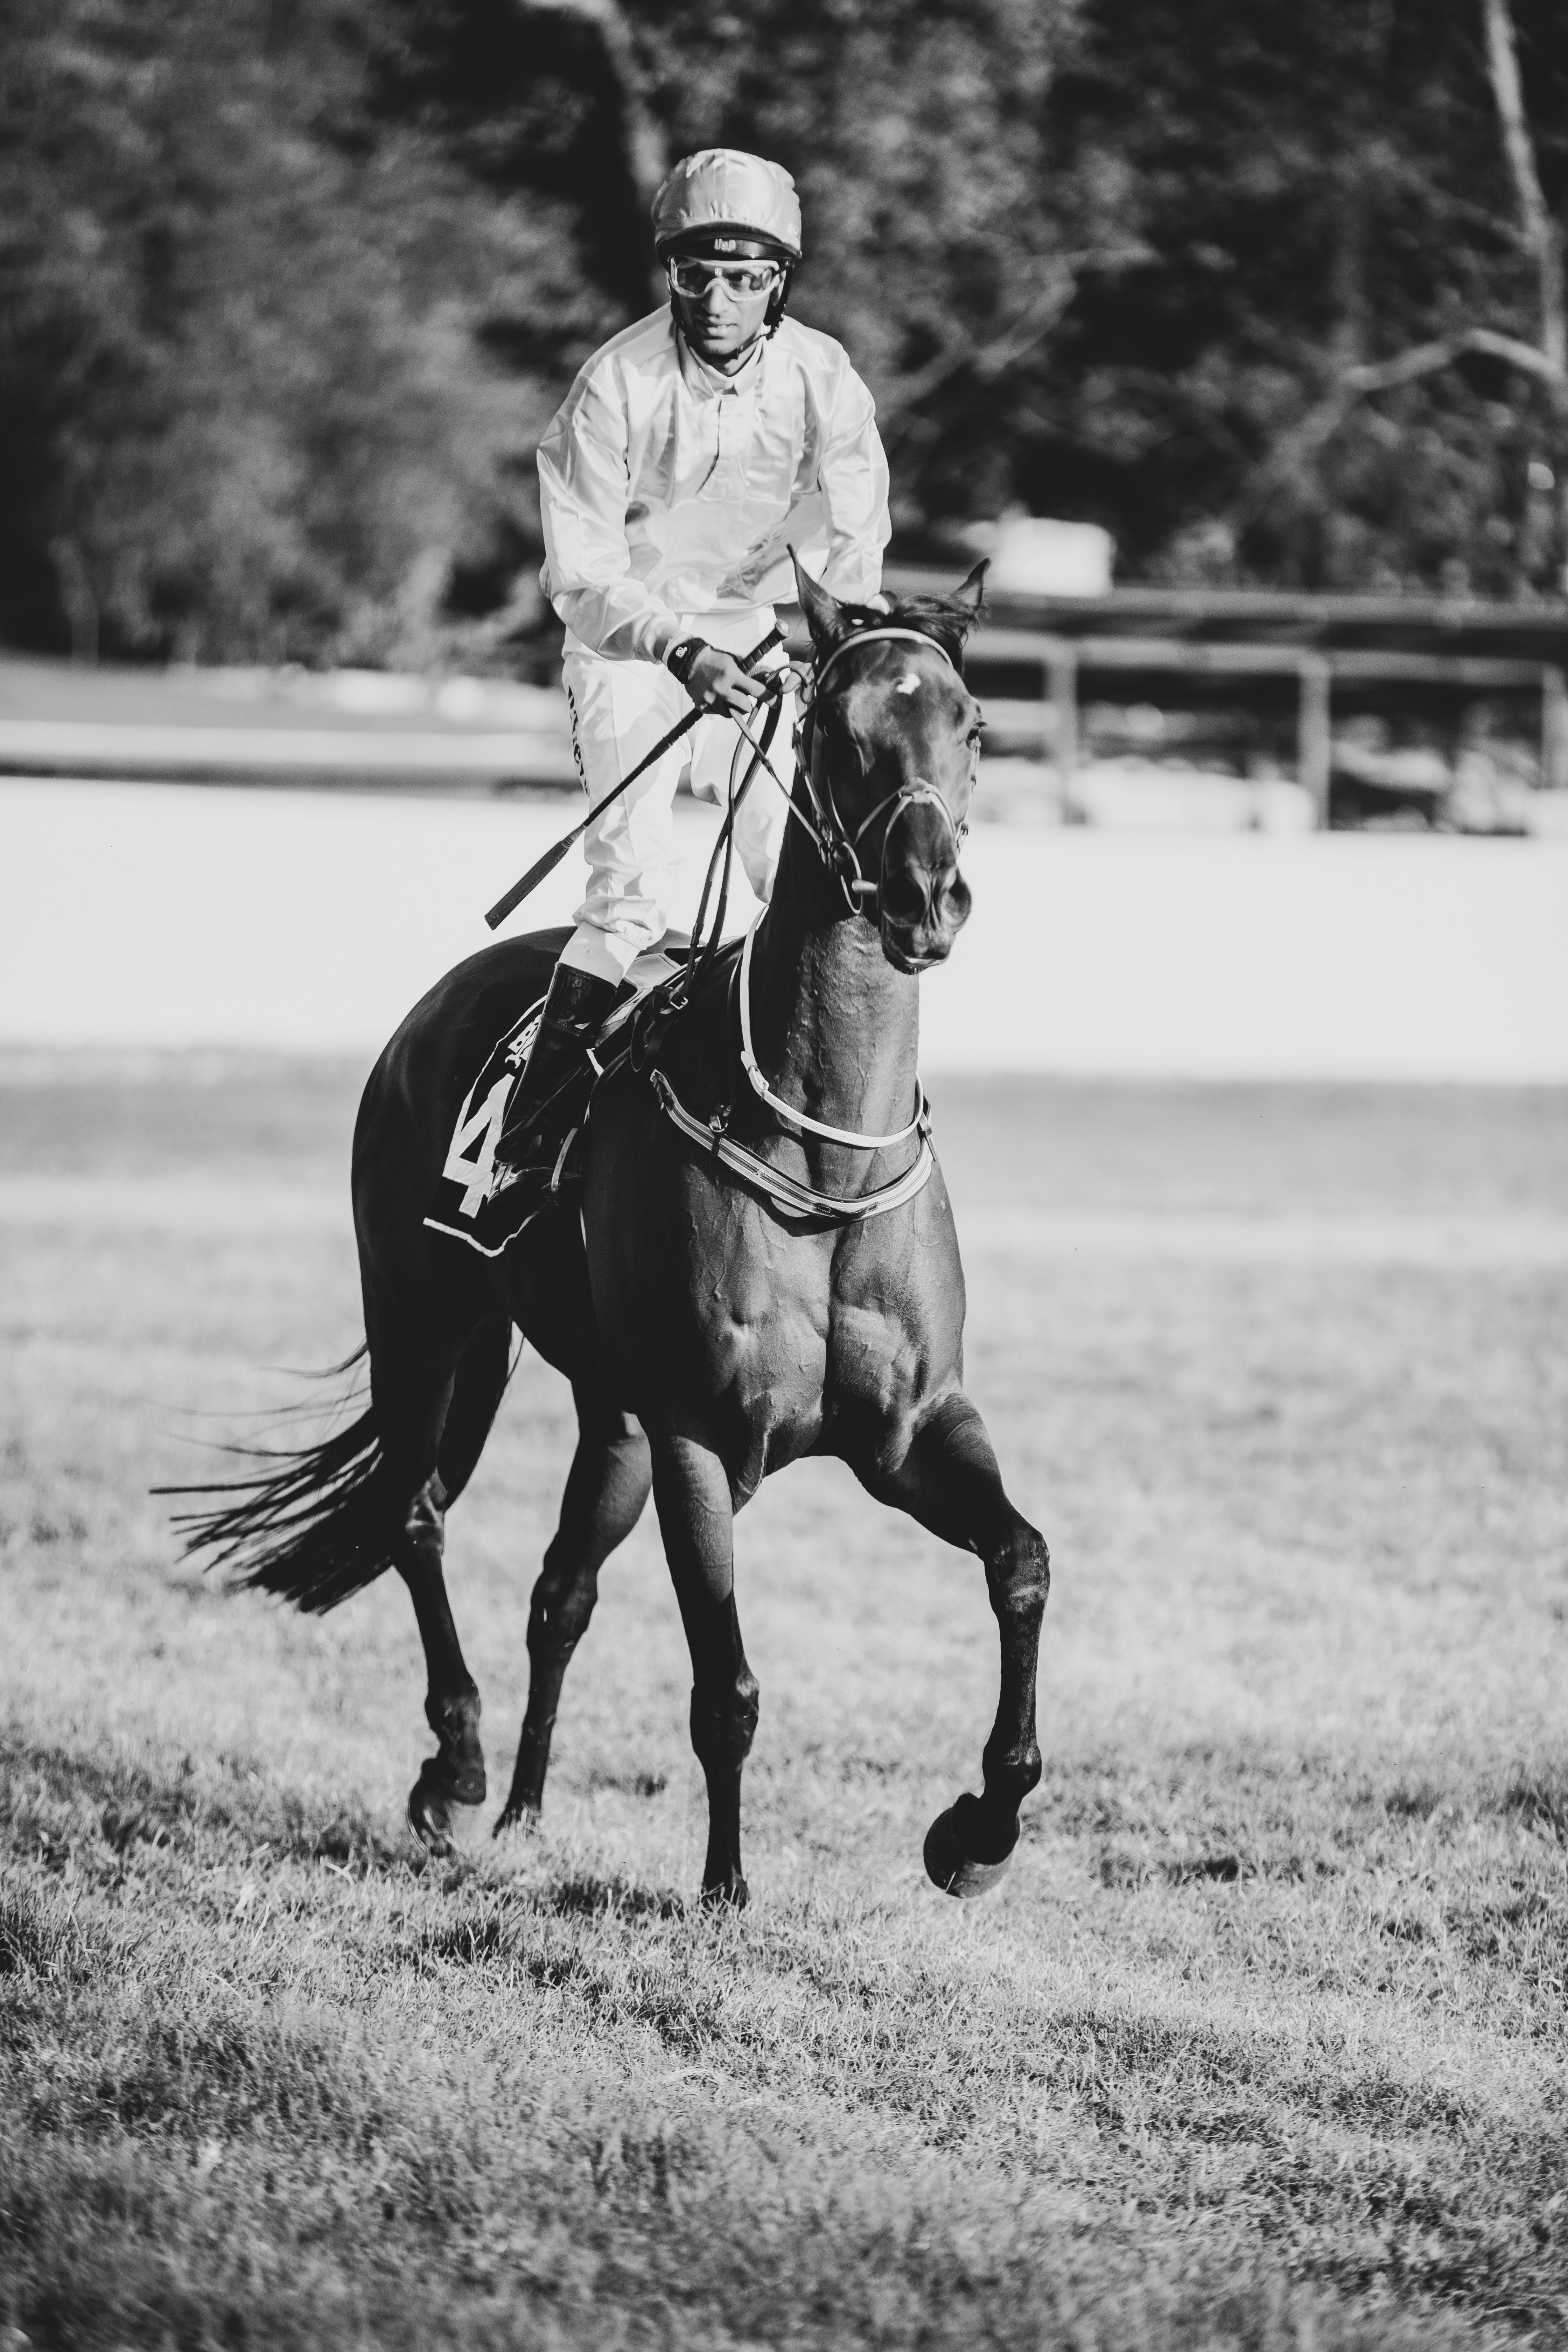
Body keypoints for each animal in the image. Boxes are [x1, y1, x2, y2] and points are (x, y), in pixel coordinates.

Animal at [174, 555, 1050, 1907]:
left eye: (972, 725)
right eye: (839, 730)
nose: (924, 894)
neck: (818, 1152)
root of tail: (431, 1012)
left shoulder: (911, 1431)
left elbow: (1021, 1562)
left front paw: (977, 1830)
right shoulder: (696, 1433)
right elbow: (724, 1683)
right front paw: (725, 1889)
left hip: (610, 1418)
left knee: (558, 1593)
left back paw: (526, 1809)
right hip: (426, 1315)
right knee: (414, 1513)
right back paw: (458, 1770)